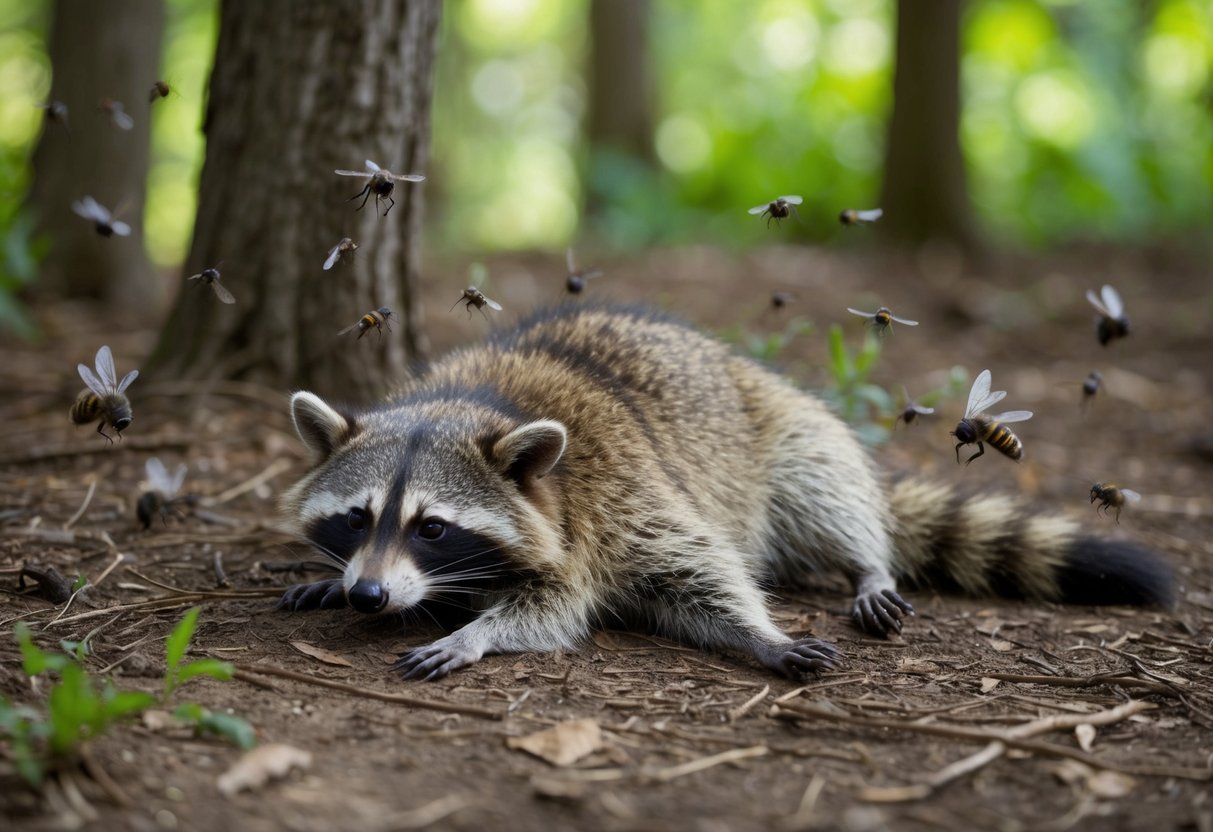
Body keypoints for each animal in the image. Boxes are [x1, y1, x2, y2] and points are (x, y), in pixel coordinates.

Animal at [279, 305, 1174, 680]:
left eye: (431, 528)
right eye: (358, 517)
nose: (367, 595)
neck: (469, 405)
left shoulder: (613, 501)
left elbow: (635, 585)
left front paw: (480, 633)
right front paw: (334, 577)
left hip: (779, 427)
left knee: (824, 486)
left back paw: (866, 561)